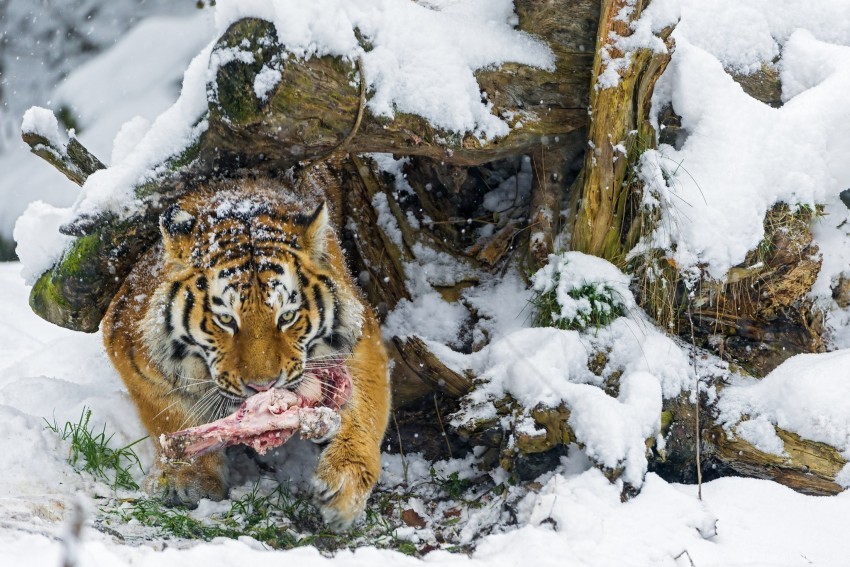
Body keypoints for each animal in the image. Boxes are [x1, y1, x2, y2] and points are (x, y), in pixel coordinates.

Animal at [102, 179, 390, 530]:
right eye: (226, 320)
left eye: (287, 317)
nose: (262, 387)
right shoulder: (133, 352)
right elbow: (170, 417)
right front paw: (188, 479)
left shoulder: (362, 339)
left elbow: (365, 412)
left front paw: (343, 488)